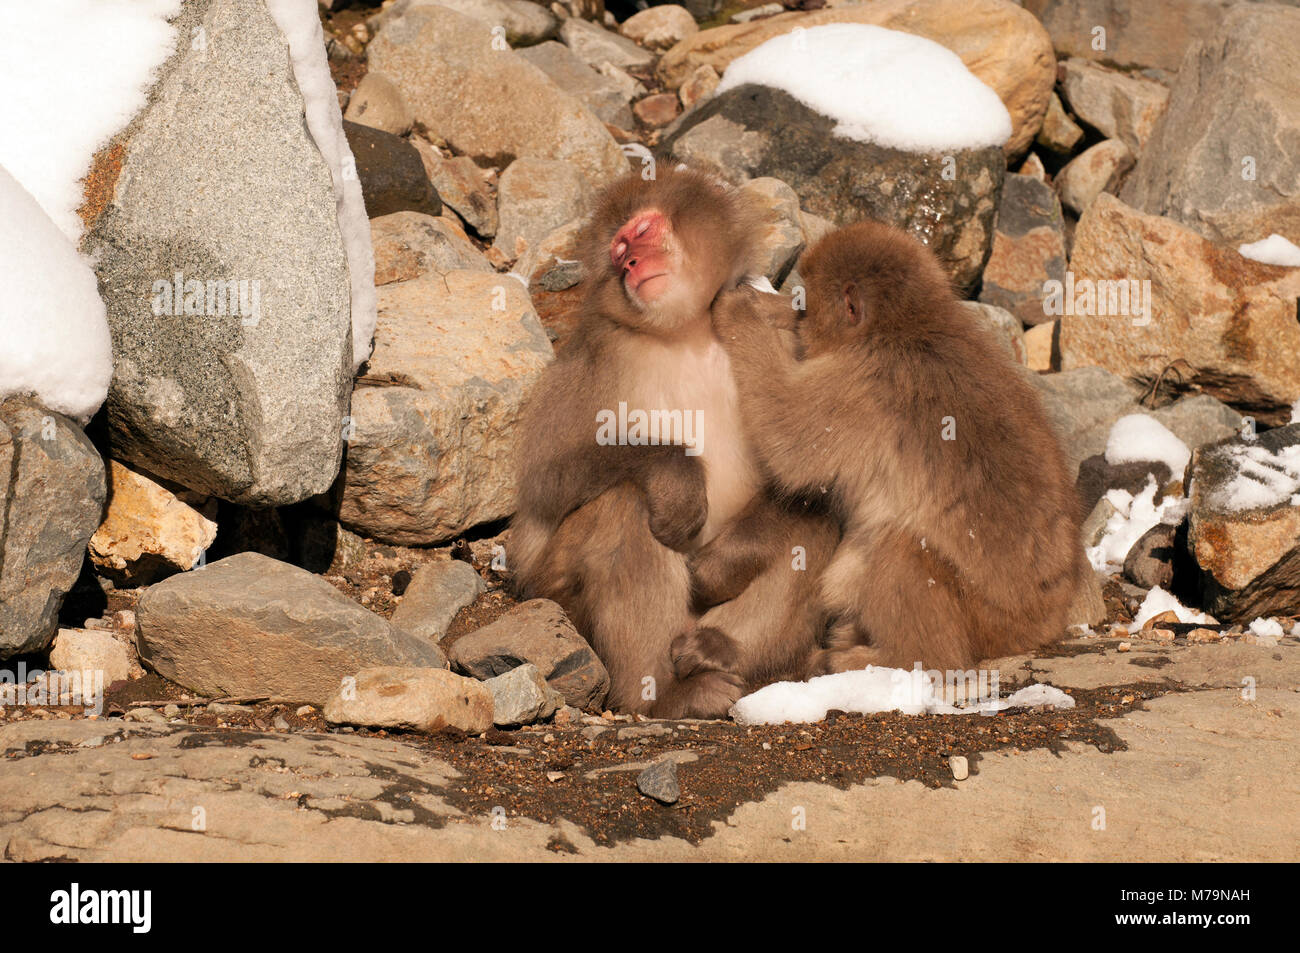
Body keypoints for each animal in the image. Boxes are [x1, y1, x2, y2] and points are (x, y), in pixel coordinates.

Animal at [510, 166, 839, 717]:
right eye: (618, 251)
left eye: (641, 231)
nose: (631, 264)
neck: (687, 334)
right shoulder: (598, 352)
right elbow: (545, 482)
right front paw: (677, 475)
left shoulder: (788, 336)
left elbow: (815, 472)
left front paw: (718, 568)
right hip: (555, 593)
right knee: (624, 504)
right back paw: (662, 695)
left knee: (816, 519)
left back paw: (721, 653)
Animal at [707, 220, 1085, 673]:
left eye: (809, 307)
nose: (799, 317)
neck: (907, 327)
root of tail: (1047, 624)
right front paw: (768, 308)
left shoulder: (860, 383)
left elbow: (786, 437)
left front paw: (739, 312)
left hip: (990, 620)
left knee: (902, 549)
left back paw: (890, 659)